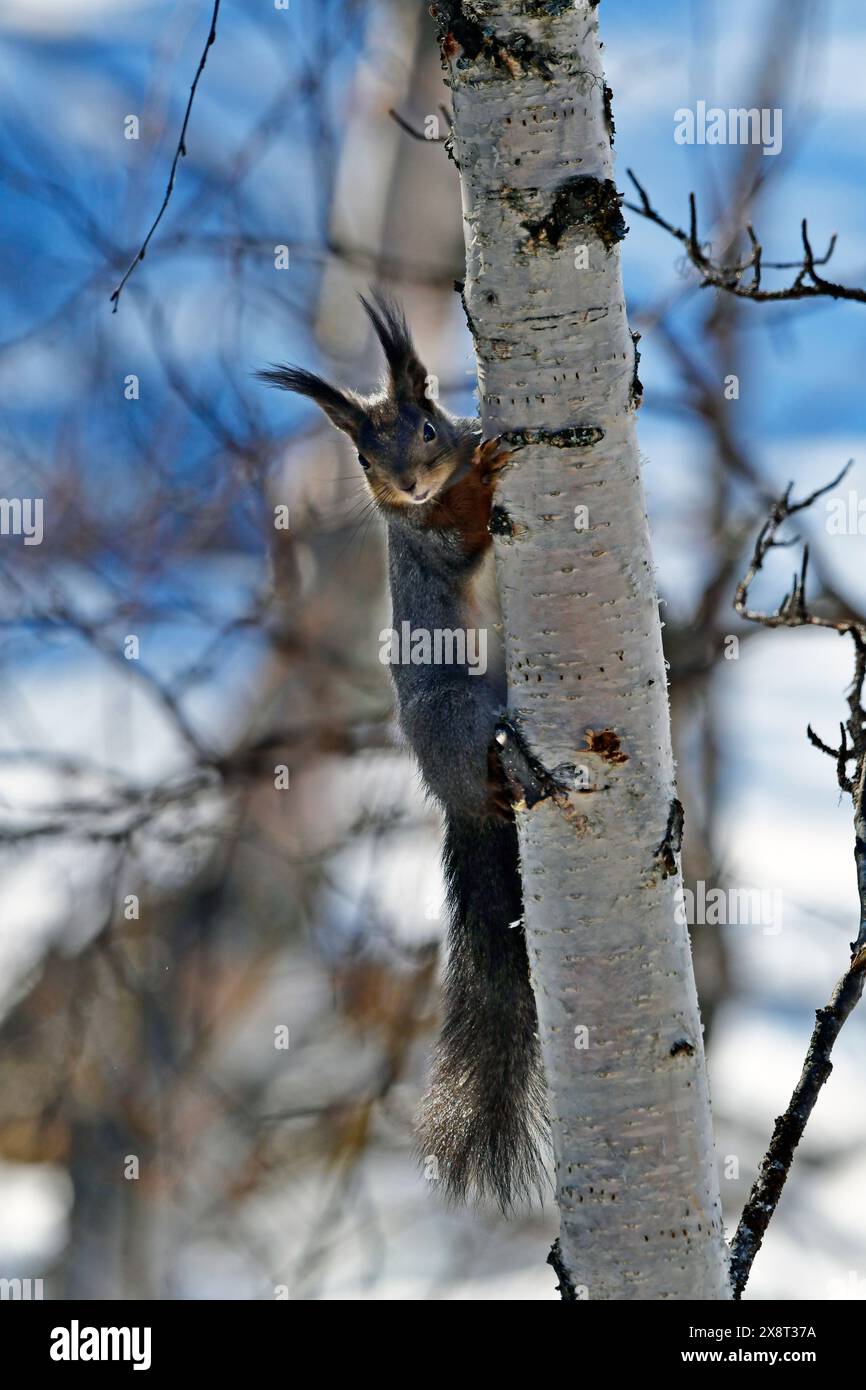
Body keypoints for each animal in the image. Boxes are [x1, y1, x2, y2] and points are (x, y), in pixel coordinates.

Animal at [258, 291, 547, 1209]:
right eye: (360, 451)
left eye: (424, 426)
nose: (410, 482)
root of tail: (461, 800)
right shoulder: (425, 541)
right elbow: (457, 536)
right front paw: (485, 473)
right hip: (458, 713)